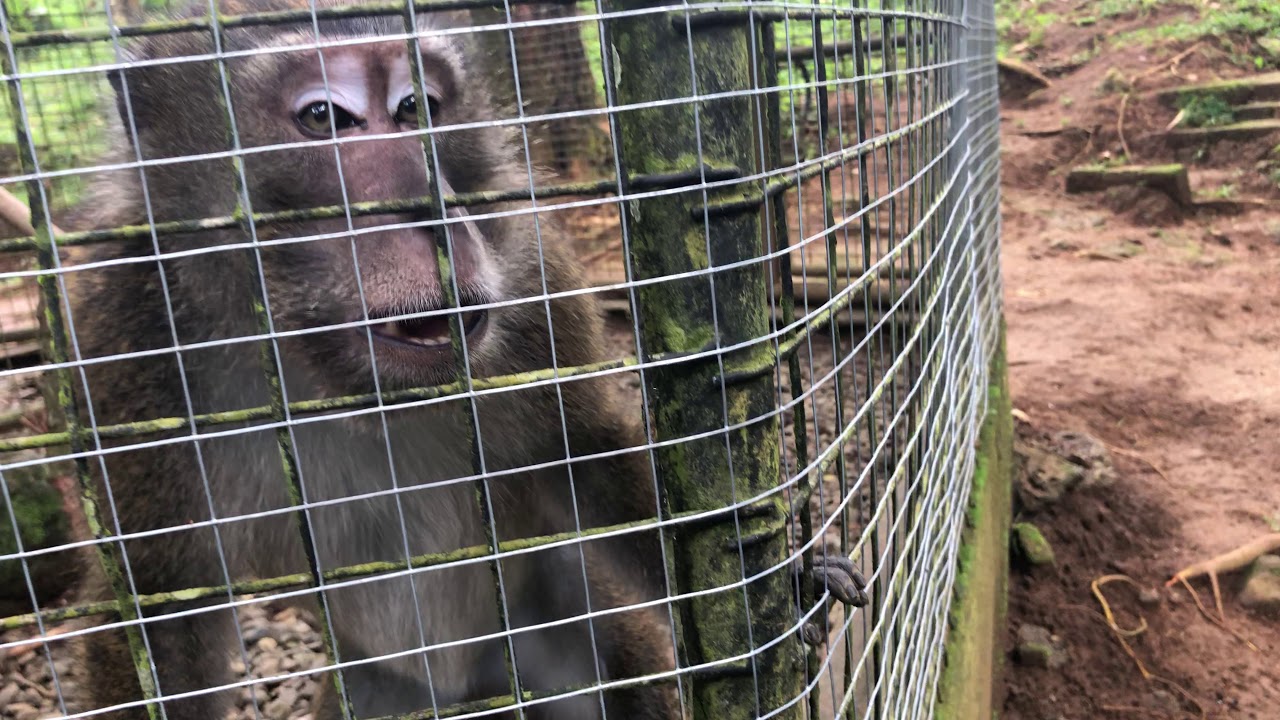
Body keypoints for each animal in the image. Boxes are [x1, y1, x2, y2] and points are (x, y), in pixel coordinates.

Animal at [14, 1, 869, 718]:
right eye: (323, 117)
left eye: (417, 107)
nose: (431, 209)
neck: (333, 378)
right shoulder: (119, 341)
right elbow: (158, 608)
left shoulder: (532, 277)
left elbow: (587, 456)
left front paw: (786, 584)